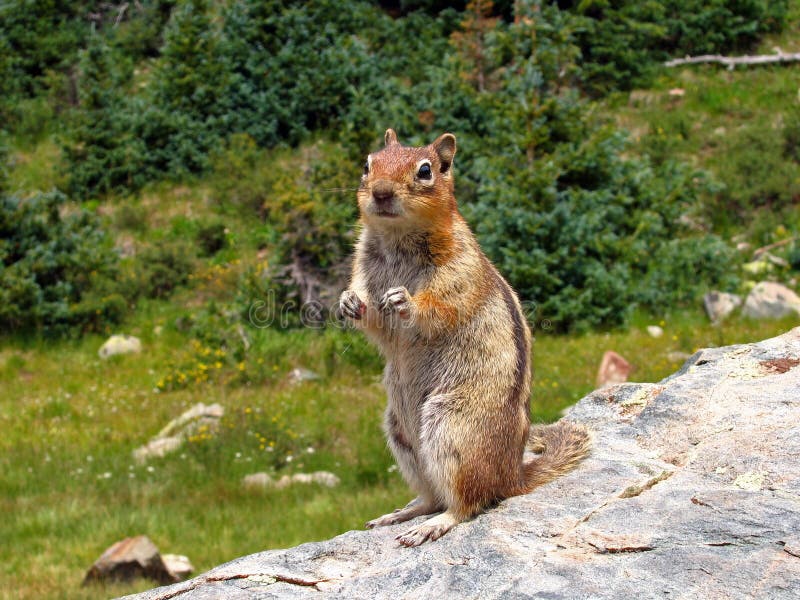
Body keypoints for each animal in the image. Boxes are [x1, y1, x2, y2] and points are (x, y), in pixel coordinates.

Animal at [339, 129, 590, 547]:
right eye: (367, 163)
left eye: (425, 171)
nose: (381, 192)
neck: (397, 237)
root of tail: (512, 477)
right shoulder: (363, 267)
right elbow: (373, 318)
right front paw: (348, 301)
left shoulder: (460, 274)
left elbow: (439, 310)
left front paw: (405, 301)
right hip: (401, 436)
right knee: (432, 496)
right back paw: (402, 514)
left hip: (452, 430)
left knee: (467, 503)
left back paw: (433, 525)